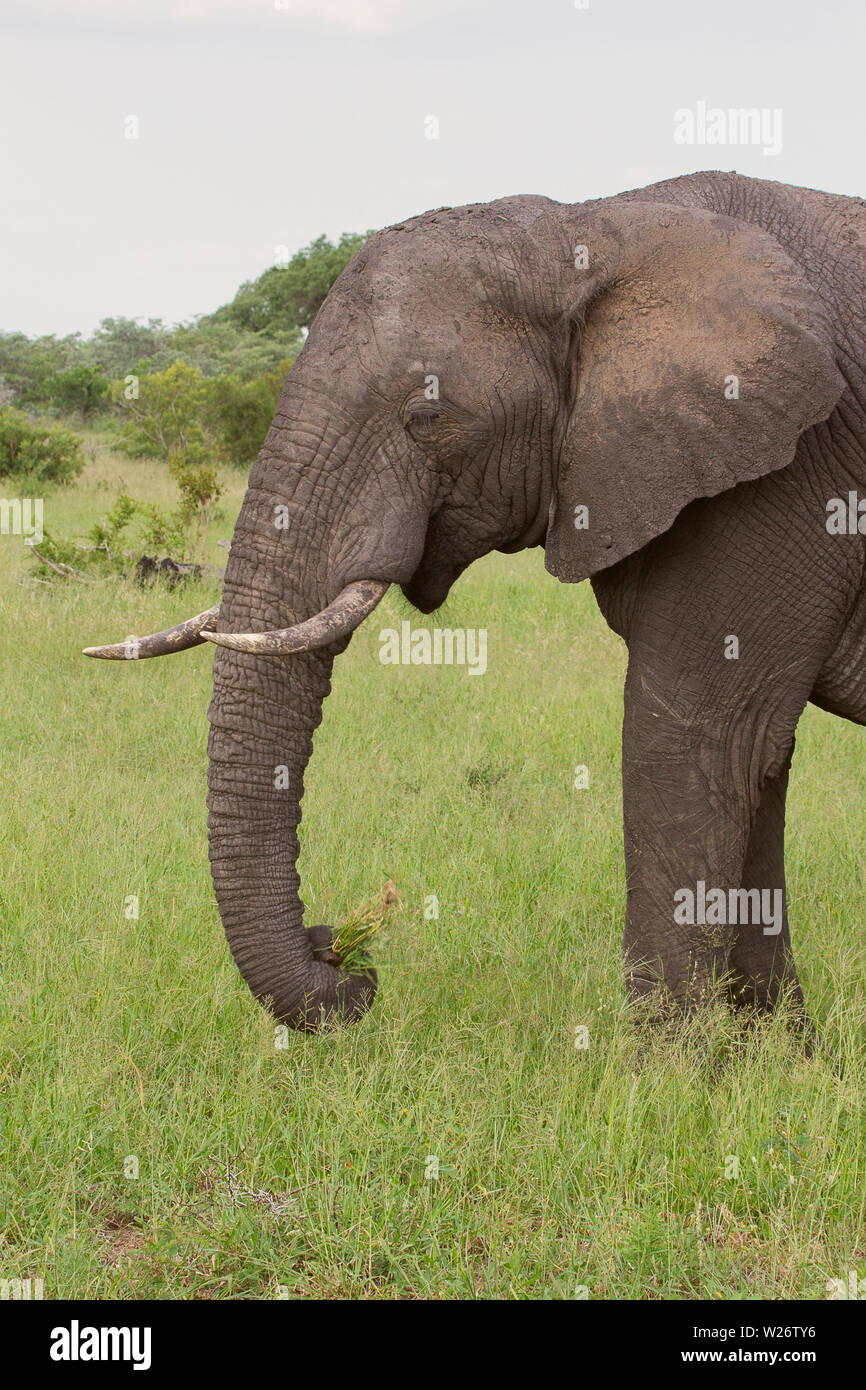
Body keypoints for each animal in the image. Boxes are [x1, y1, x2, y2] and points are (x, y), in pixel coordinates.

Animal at [85, 170, 866, 1036]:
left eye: (426, 416)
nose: (343, 954)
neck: (591, 229)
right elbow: (761, 760)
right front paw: (775, 1057)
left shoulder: (790, 471)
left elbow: (700, 742)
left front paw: (666, 1069)